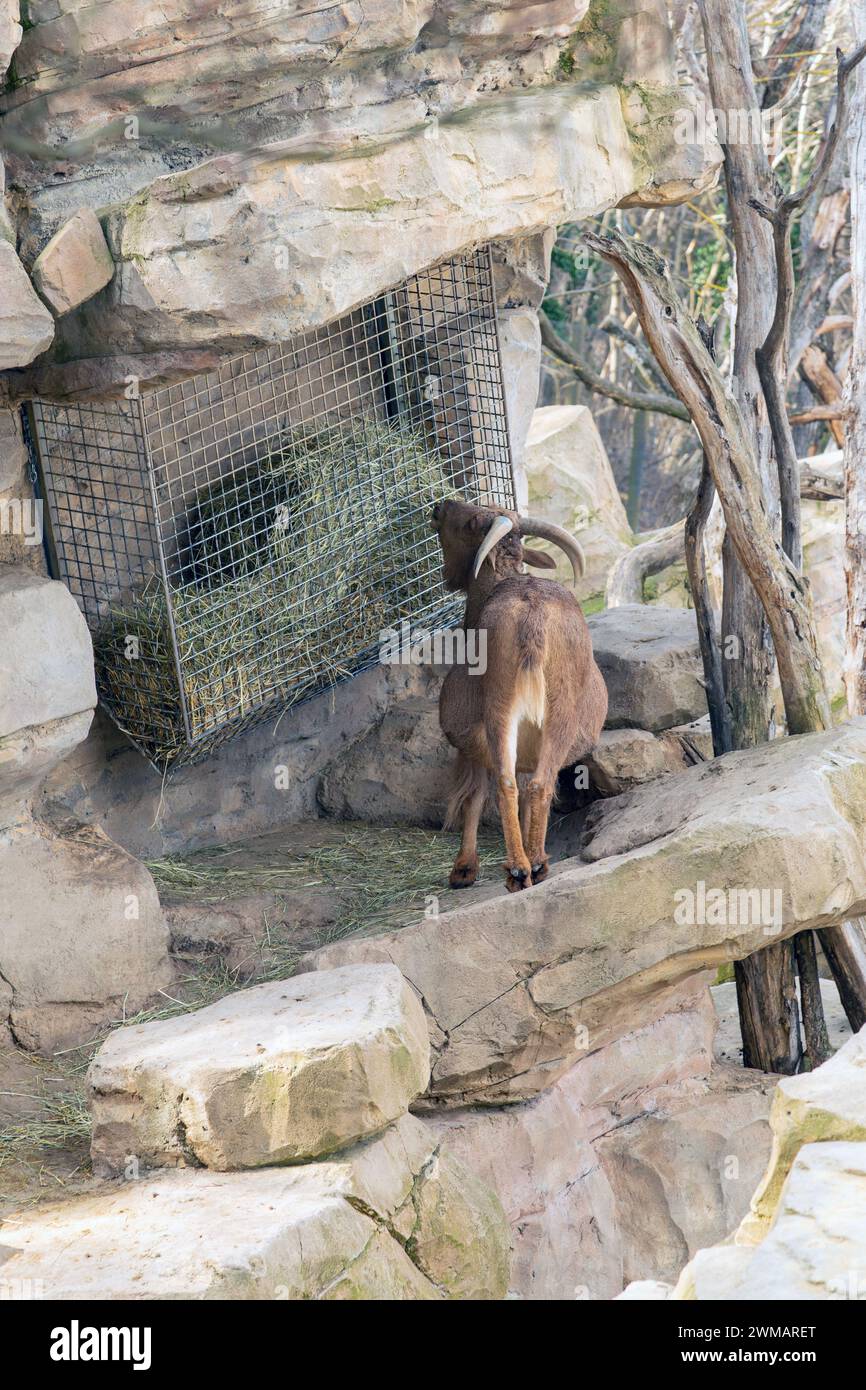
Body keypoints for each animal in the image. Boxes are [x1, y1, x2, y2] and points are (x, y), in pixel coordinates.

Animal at [431, 498, 608, 892]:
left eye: (469, 522)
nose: (439, 507)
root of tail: (532, 617)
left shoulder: (468, 744)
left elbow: (473, 796)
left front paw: (463, 869)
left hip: (498, 708)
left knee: (504, 784)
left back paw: (516, 870)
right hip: (558, 713)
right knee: (538, 785)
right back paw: (535, 864)